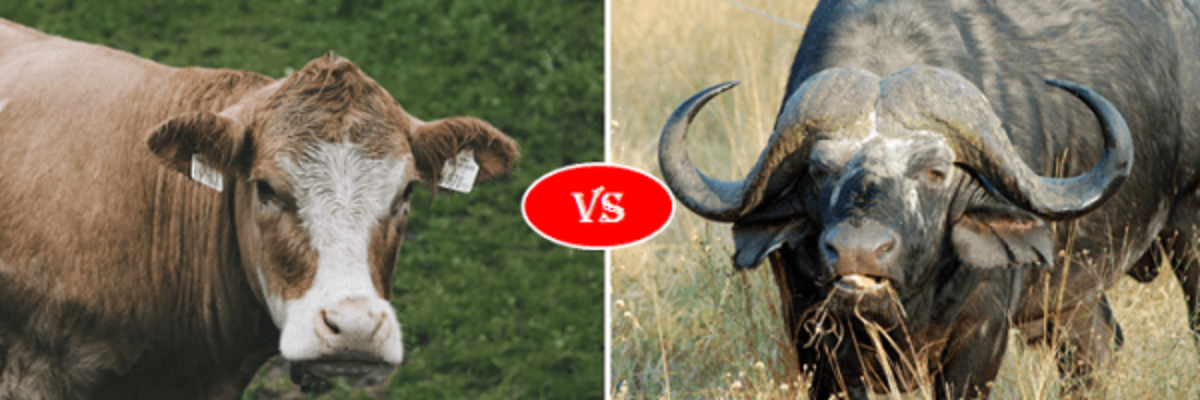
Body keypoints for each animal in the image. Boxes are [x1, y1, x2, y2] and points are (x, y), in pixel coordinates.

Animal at [658, 0, 1200, 398]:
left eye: (935, 171)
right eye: (818, 170)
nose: (857, 251)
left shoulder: (981, 336)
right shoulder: (814, 338)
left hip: (1188, 232)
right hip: (1069, 294)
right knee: (1096, 349)